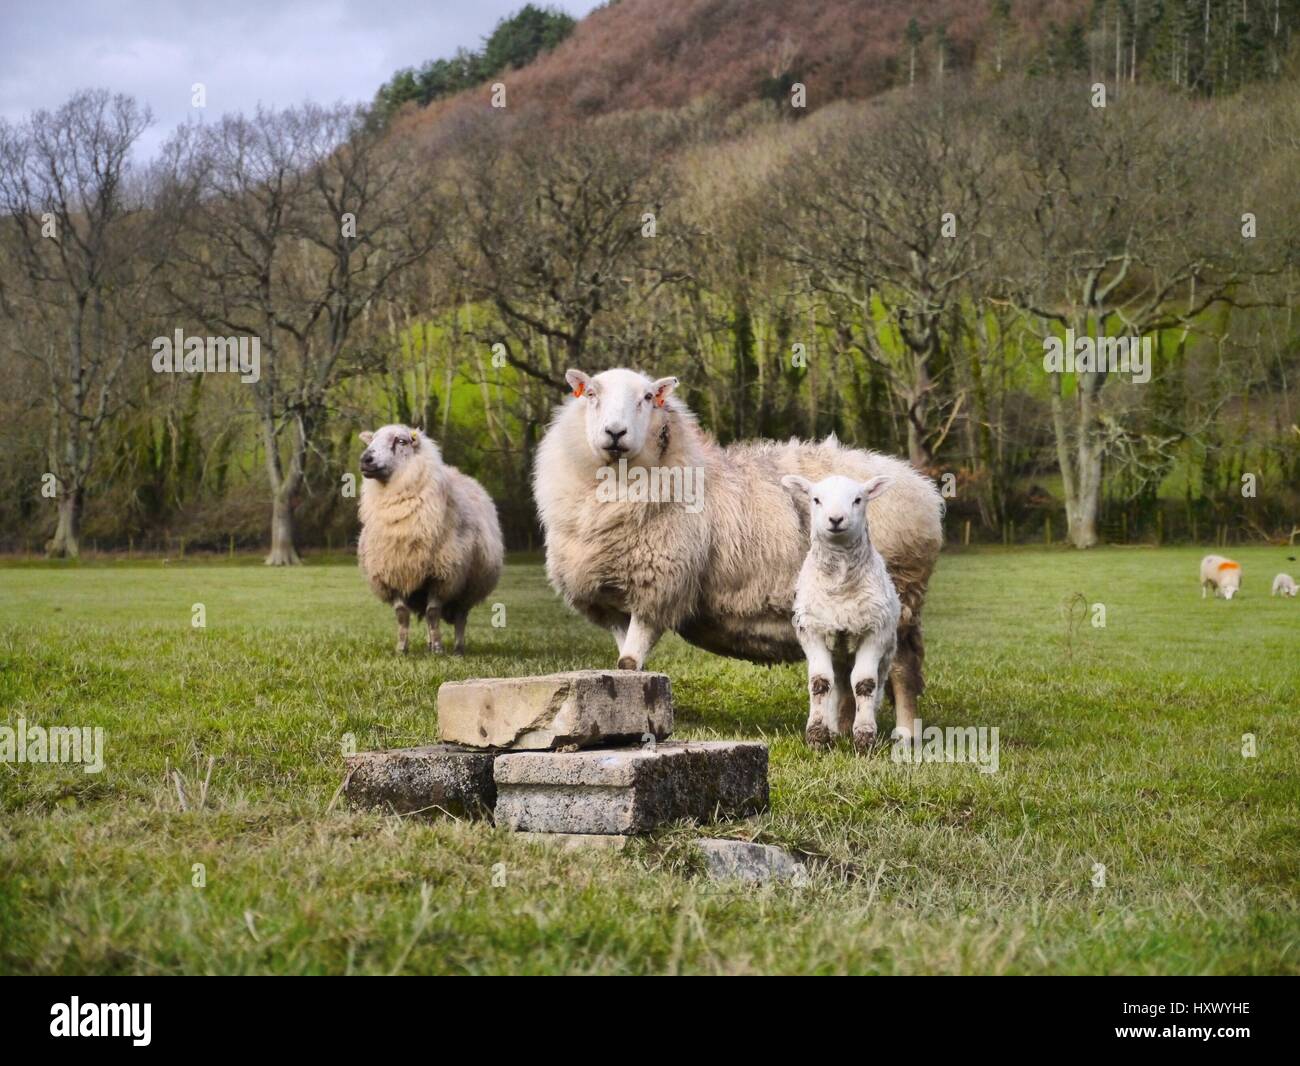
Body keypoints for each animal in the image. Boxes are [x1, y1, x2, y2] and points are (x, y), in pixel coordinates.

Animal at [357, 424, 503, 654]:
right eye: (371, 440)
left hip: (467, 585)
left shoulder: (442, 575)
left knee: (460, 617)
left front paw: (438, 649)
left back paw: (457, 649)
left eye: (401, 441)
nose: (366, 459)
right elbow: (402, 613)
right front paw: (402, 649)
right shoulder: (392, 572)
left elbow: (433, 611)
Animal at [782, 473, 901, 752]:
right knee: (835, 687)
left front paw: (864, 736)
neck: (840, 586)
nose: (836, 519)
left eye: (858, 499)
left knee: (871, 686)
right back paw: (834, 729)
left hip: (886, 653)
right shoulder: (811, 629)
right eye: (816, 499)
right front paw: (817, 735)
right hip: (836, 654)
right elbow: (819, 682)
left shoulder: (874, 631)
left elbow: (865, 684)